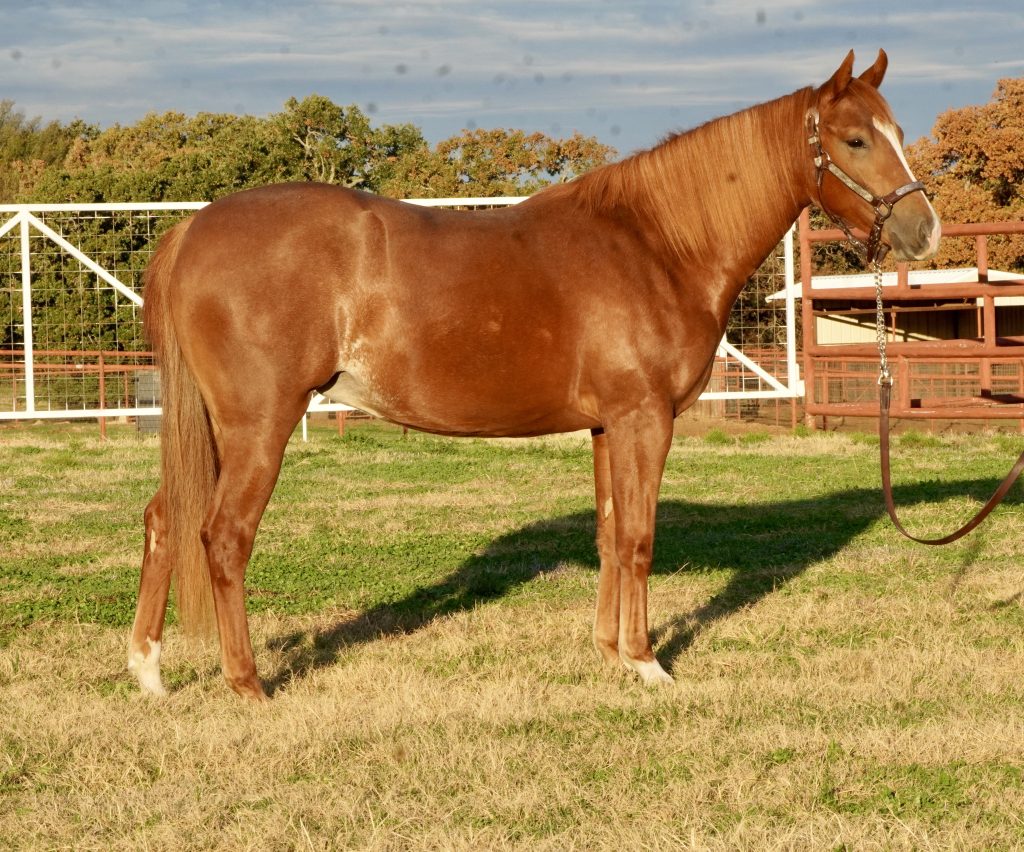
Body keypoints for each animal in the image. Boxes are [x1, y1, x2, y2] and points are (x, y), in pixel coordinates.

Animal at [128, 50, 940, 699]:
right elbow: (640, 536)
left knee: (164, 519)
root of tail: (193, 228)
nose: (923, 230)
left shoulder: (608, 426)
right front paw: (648, 664)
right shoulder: (646, 419)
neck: (654, 244)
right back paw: (247, 685)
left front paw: (612, 654)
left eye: (898, 133)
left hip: (217, 427)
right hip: (258, 423)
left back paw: (149, 671)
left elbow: (611, 535)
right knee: (223, 536)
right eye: (855, 139)